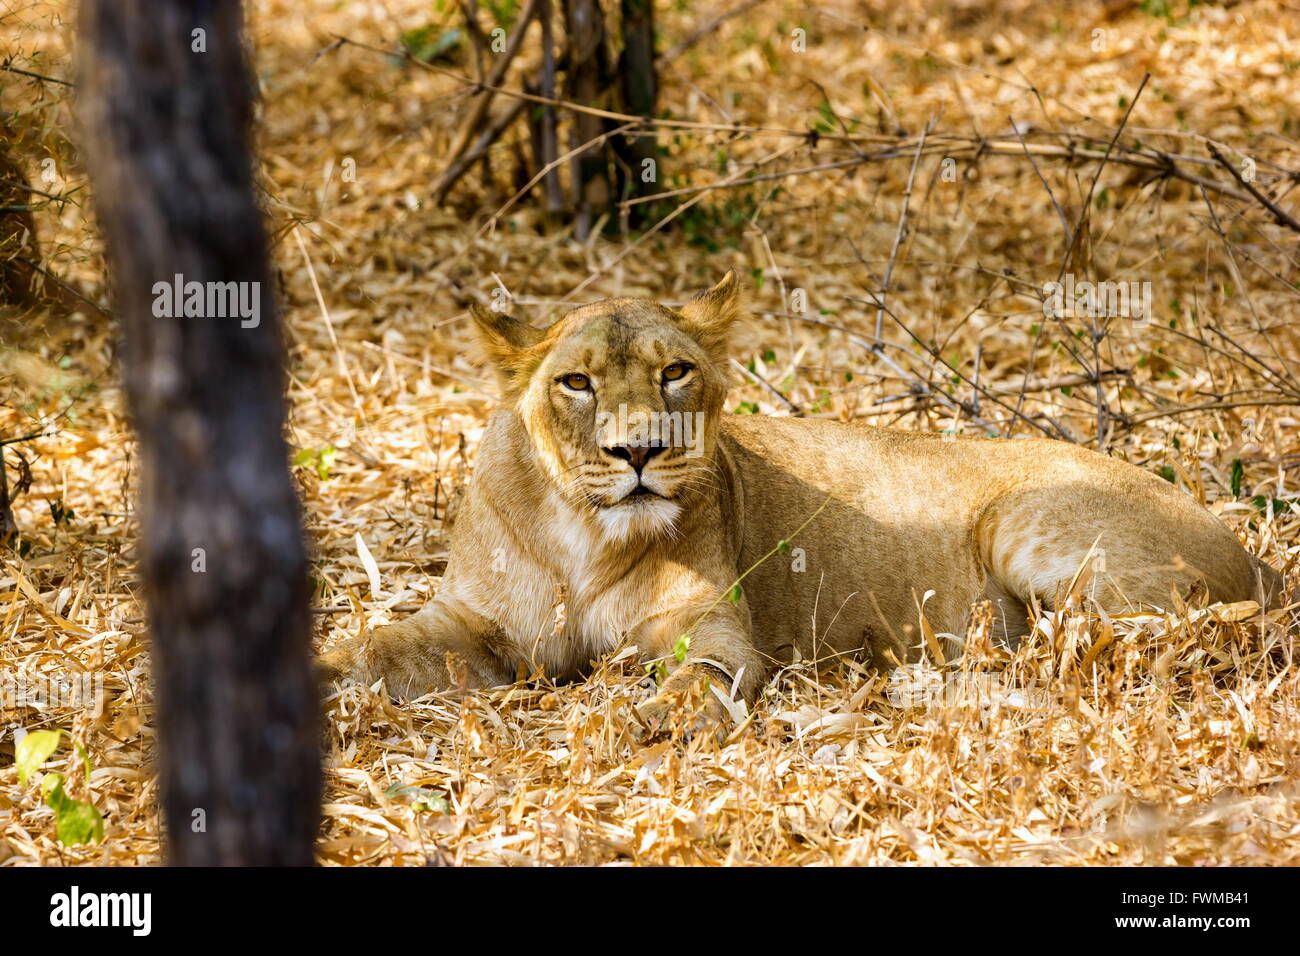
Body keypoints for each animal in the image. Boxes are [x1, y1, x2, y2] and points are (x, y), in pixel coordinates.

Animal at [319, 271, 1286, 729]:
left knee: (1172, 640)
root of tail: (1256, 554)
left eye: (677, 372)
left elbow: (696, 679)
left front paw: (649, 720)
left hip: (1025, 518)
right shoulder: (472, 627)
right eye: (576, 382)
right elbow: (366, 650)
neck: (581, 537)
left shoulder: (710, 629)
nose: (639, 451)